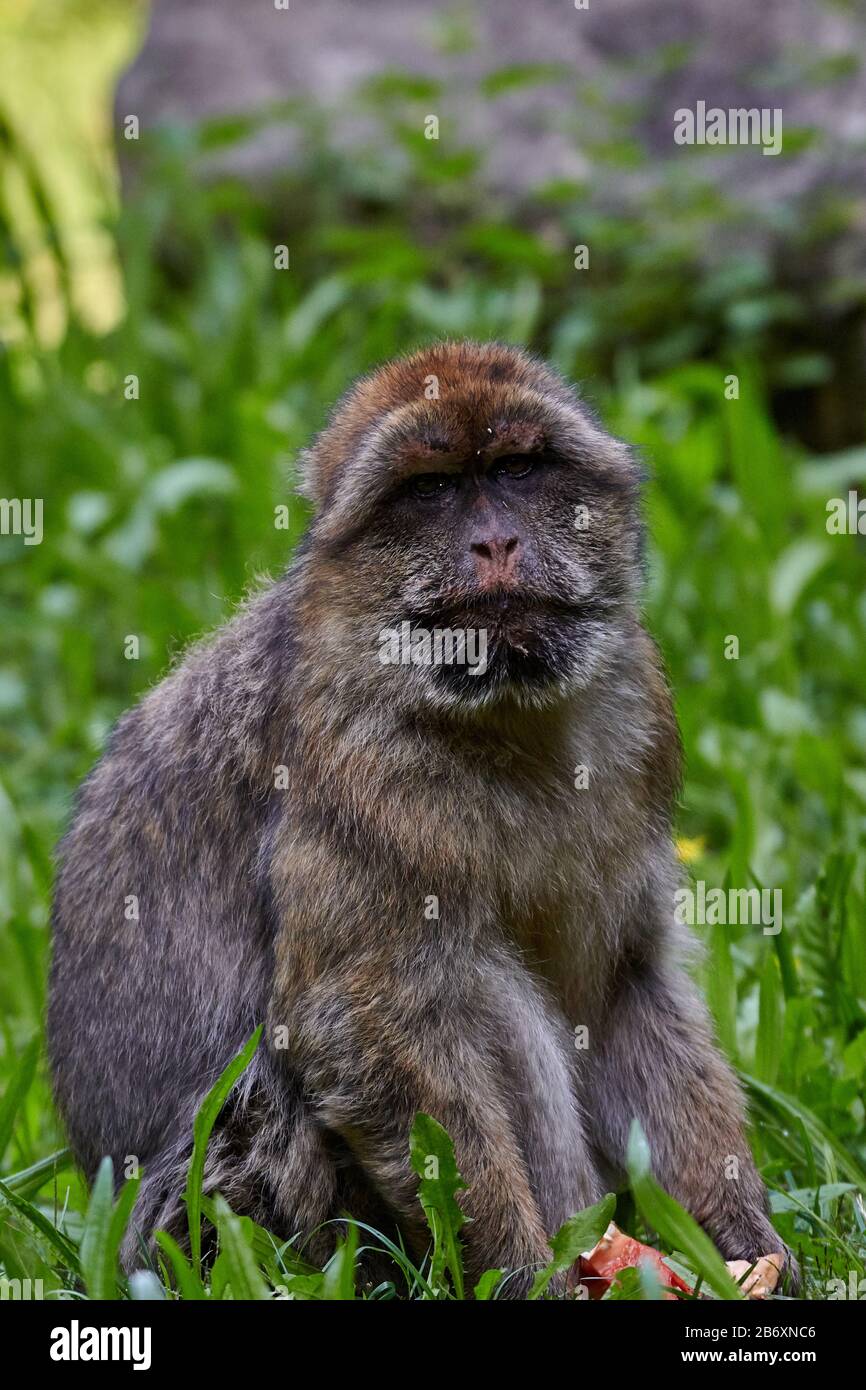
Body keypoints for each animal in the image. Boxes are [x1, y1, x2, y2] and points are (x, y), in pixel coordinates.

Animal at [48, 340, 794, 1295]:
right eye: (432, 488)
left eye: (516, 470)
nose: (496, 541)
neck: (495, 716)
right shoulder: (360, 780)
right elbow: (357, 1023)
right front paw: (523, 1274)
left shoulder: (639, 722)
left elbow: (626, 987)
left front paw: (737, 1237)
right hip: (227, 1219)